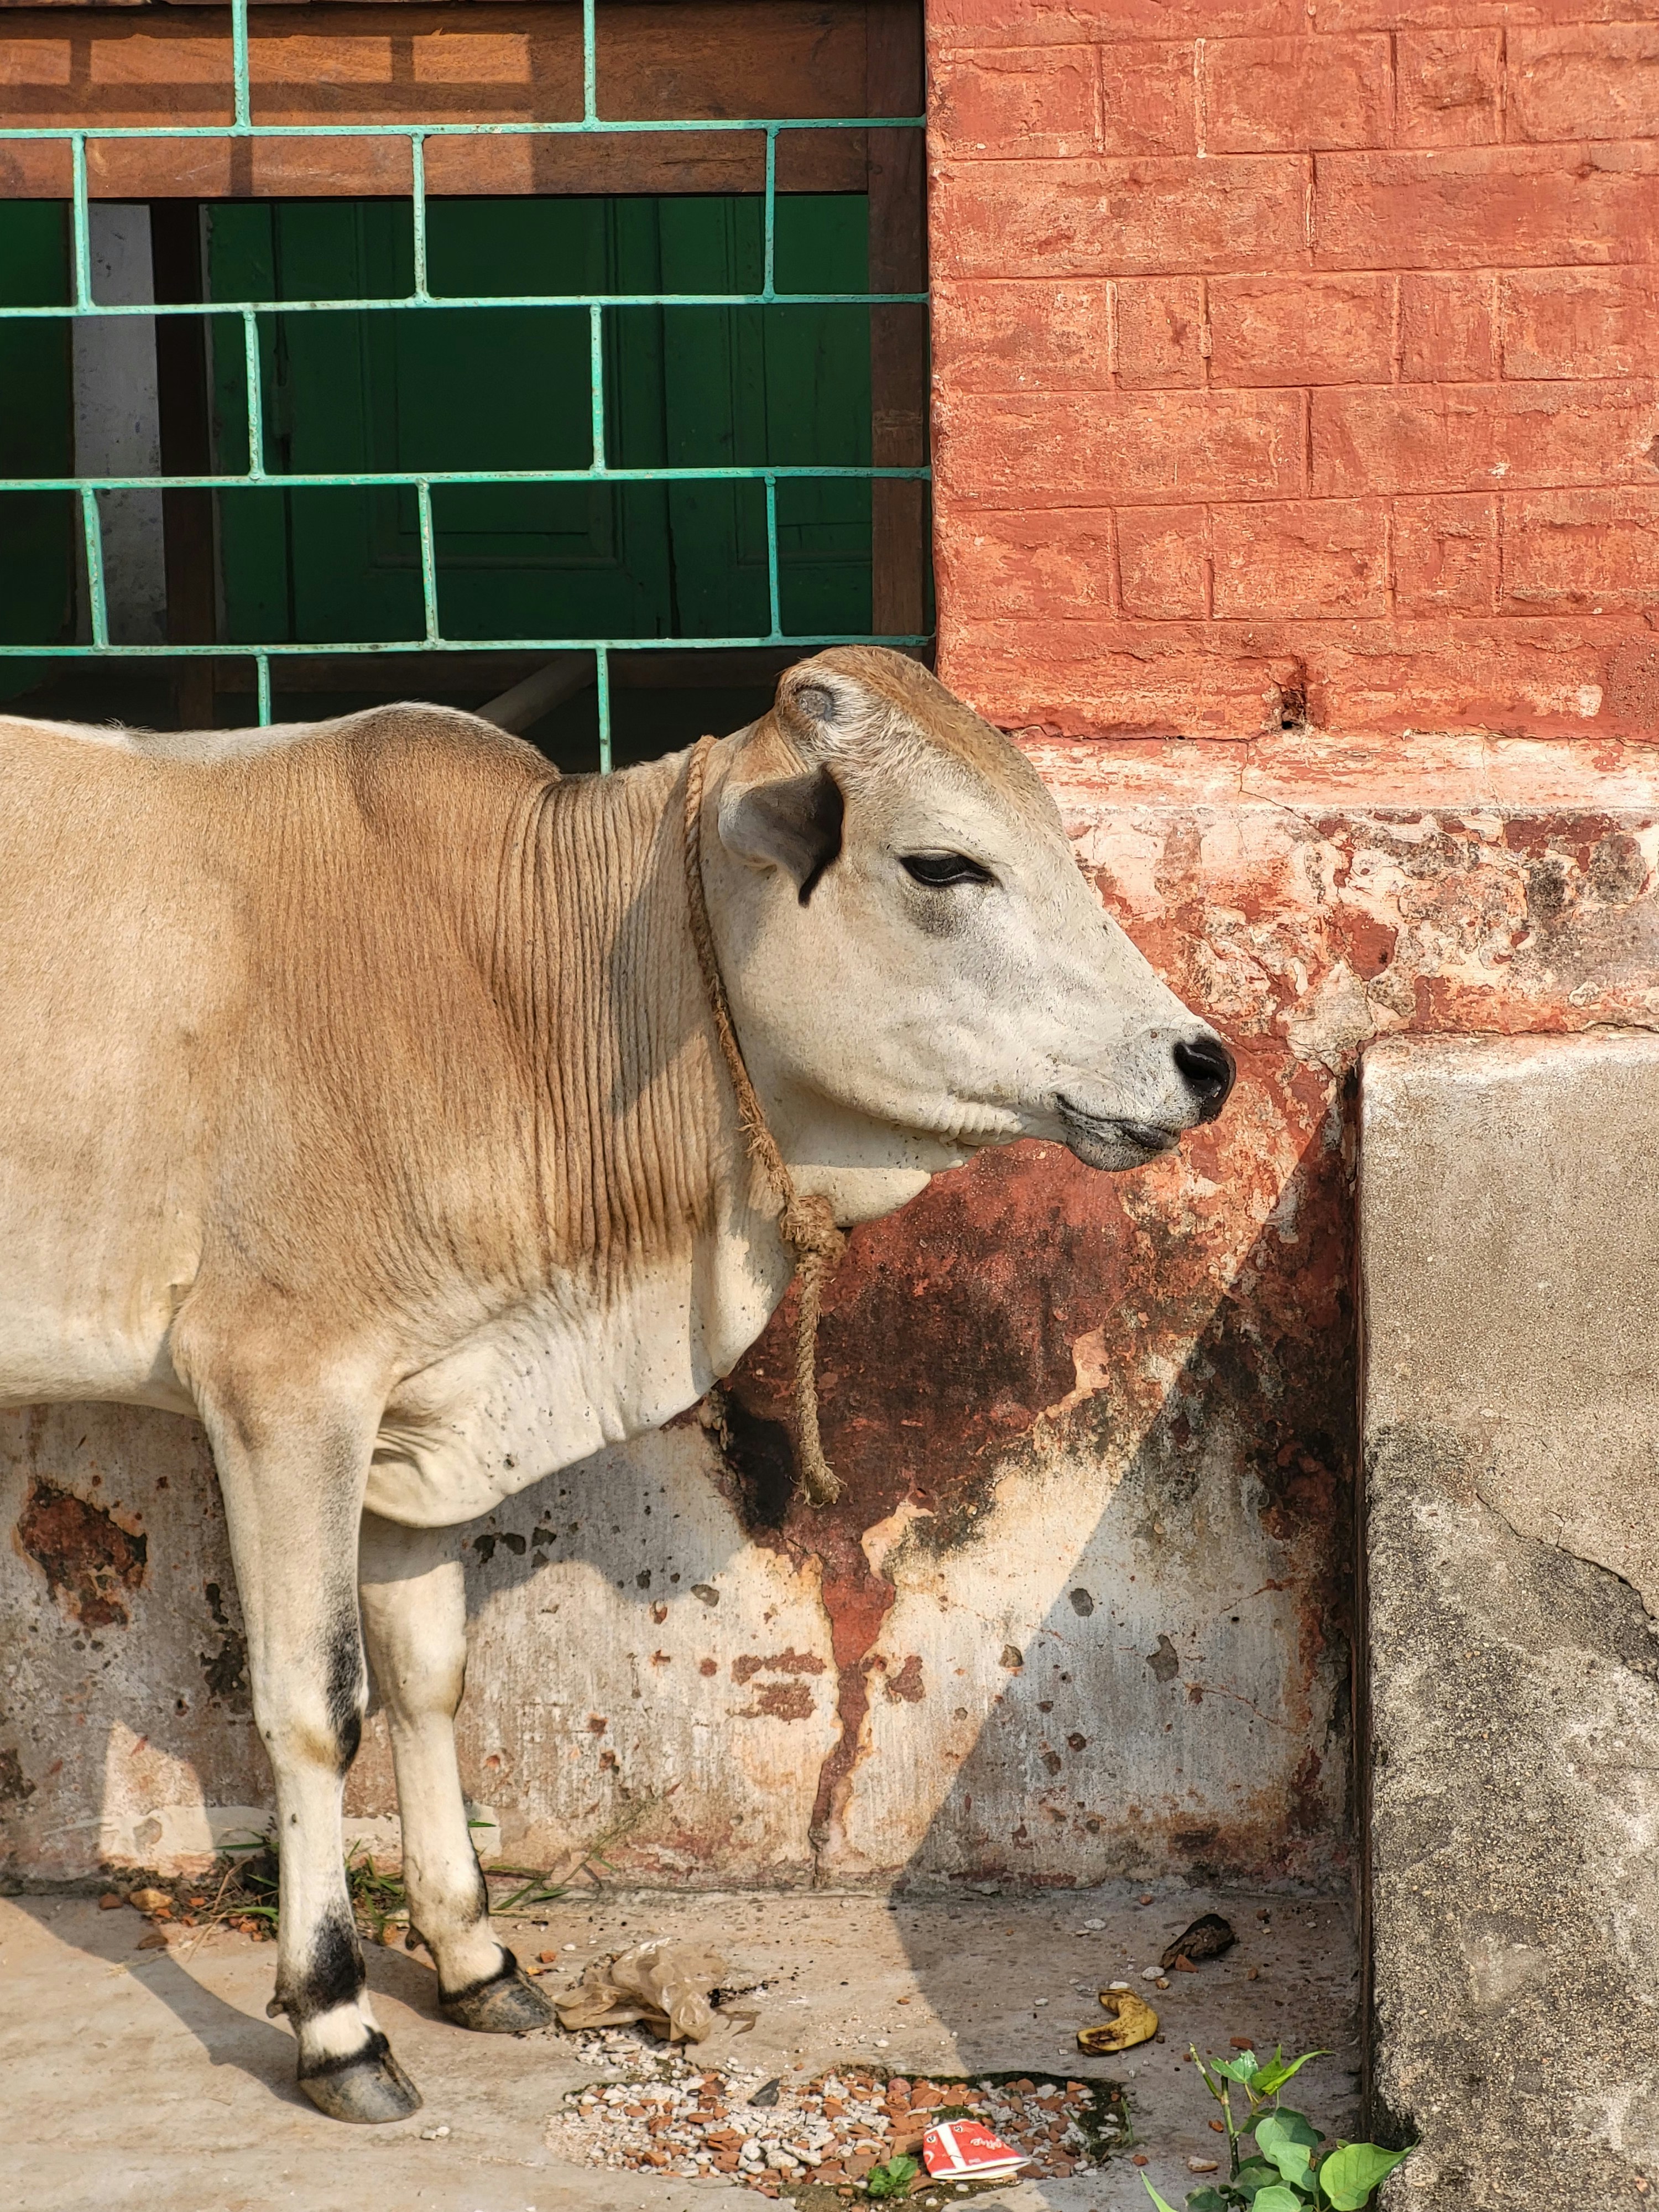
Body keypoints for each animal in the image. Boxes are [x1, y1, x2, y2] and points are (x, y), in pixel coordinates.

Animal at [0, 646, 1233, 2121]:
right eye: (943, 864)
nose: (1204, 1060)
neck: (533, 993)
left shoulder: (428, 1409)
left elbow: (429, 1679)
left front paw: (475, 1957)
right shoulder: (281, 1384)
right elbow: (316, 1708)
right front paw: (339, 2019)